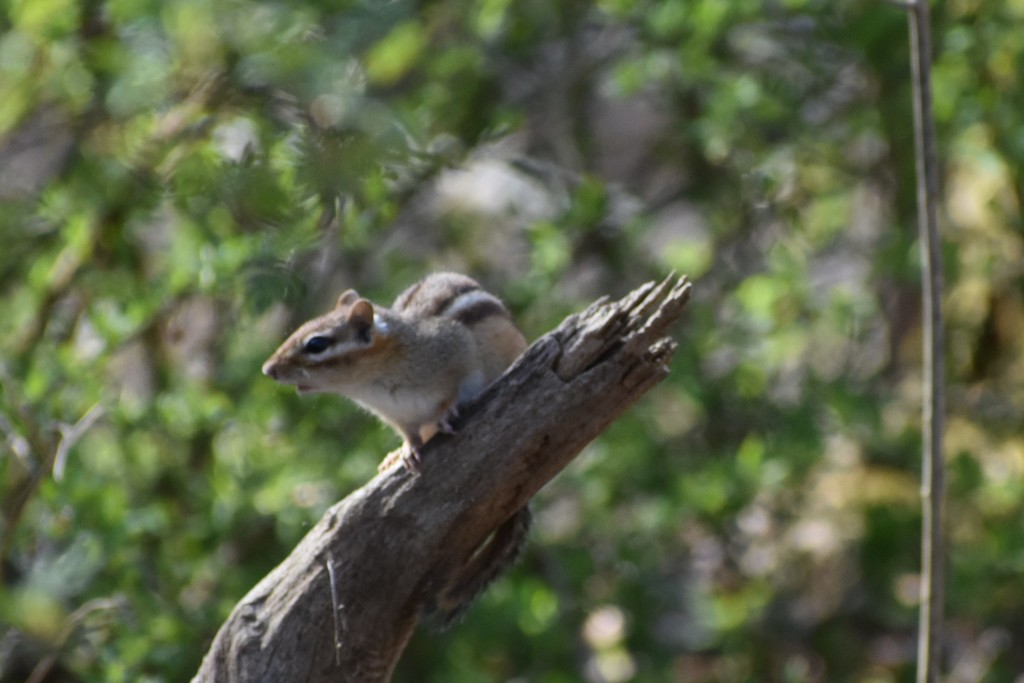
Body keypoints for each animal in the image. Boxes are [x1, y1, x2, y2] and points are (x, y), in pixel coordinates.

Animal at [262, 271, 531, 626]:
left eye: (316, 344)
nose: (268, 369)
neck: (374, 383)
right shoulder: (398, 417)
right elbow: (409, 434)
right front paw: (405, 452)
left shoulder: (458, 352)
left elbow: (457, 388)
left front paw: (449, 411)